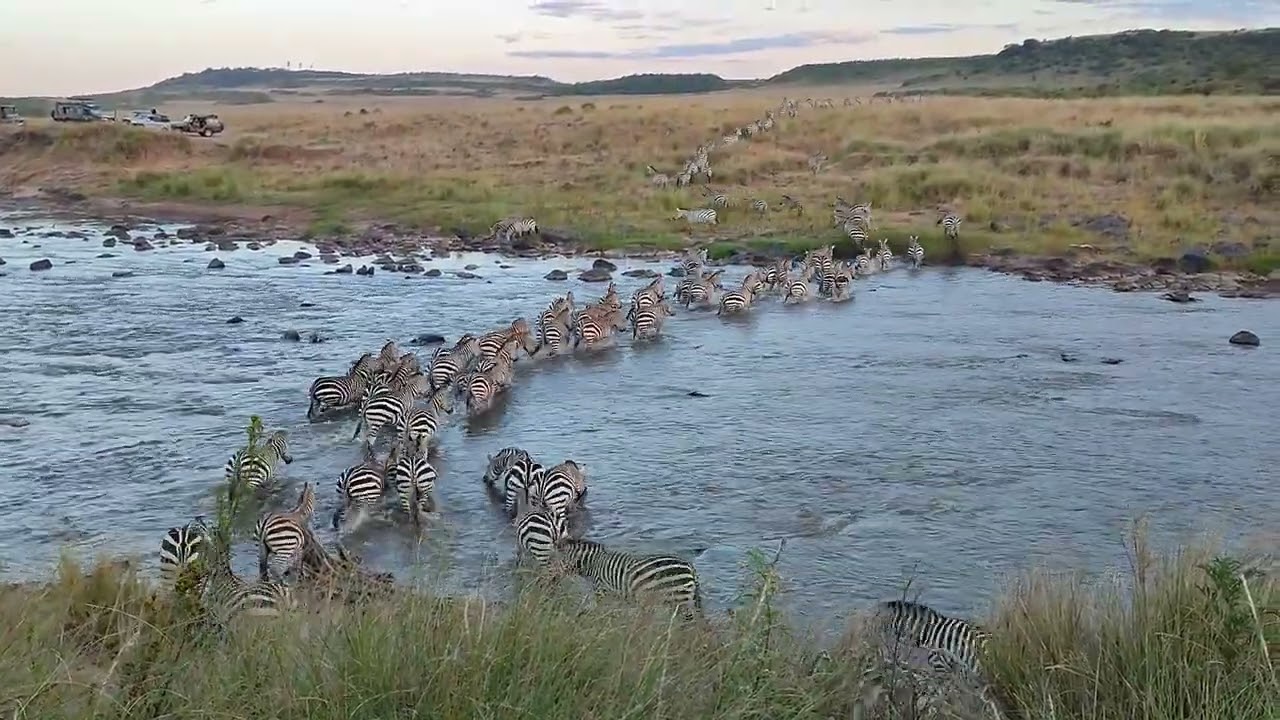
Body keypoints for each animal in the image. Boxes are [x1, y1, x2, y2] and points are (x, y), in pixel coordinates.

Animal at [551, 538, 703, 619]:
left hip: (680, 599)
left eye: (552, 560)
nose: (551, 581)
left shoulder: (602, 590)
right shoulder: (614, 595)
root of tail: (690, 567)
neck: (593, 563)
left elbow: (602, 611)